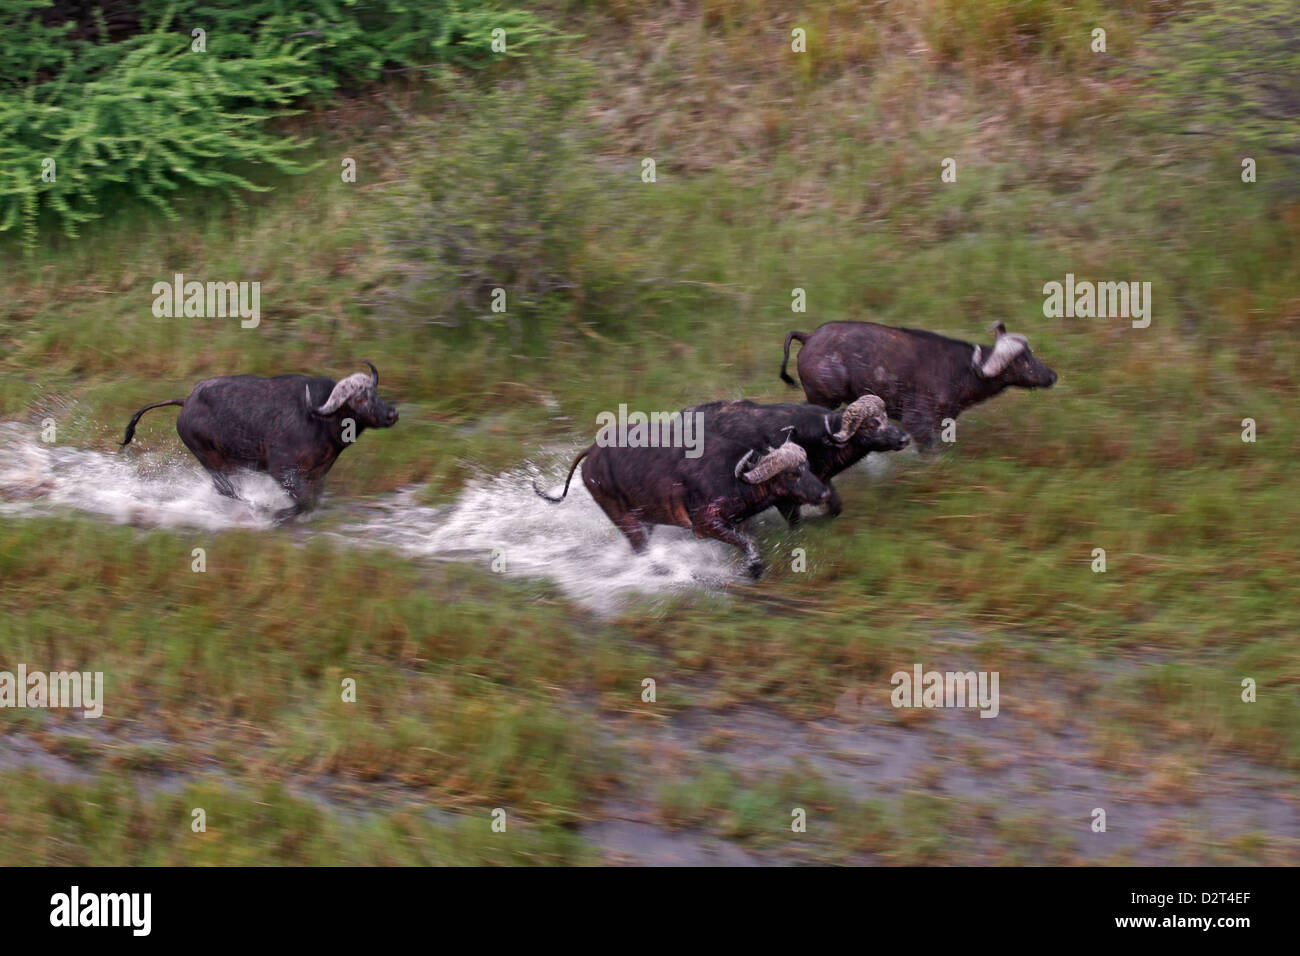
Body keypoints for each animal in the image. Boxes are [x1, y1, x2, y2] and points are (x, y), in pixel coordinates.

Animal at [120, 362, 398, 521]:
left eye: (374, 392)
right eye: (359, 399)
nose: (392, 414)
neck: (318, 419)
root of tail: (186, 401)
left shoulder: (317, 474)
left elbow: (313, 500)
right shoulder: (282, 471)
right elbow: (304, 501)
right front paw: (278, 514)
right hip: (211, 459)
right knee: (226, 489)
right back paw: (257, 506)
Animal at [535, 433, 830, 578]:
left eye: (806, 466)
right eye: (792, 474)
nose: (824, 492)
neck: (735, 478)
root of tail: (592, 453)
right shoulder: (704, 524)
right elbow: (748, 542)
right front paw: (754, 569)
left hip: (644, 518)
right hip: (623, 516)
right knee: (640, 548)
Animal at [687, 394, 909, 525]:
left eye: (886, 417)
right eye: (871, 424)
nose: (904, 439)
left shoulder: (823, 483)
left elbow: (836, 507)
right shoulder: (785, 500)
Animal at [780, 321, 1056, 448]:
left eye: (1030, 353)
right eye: (1021, 360)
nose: (1052, 376)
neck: (961, 370)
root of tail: (810, 337)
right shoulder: (918, 422)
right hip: (824, 398)